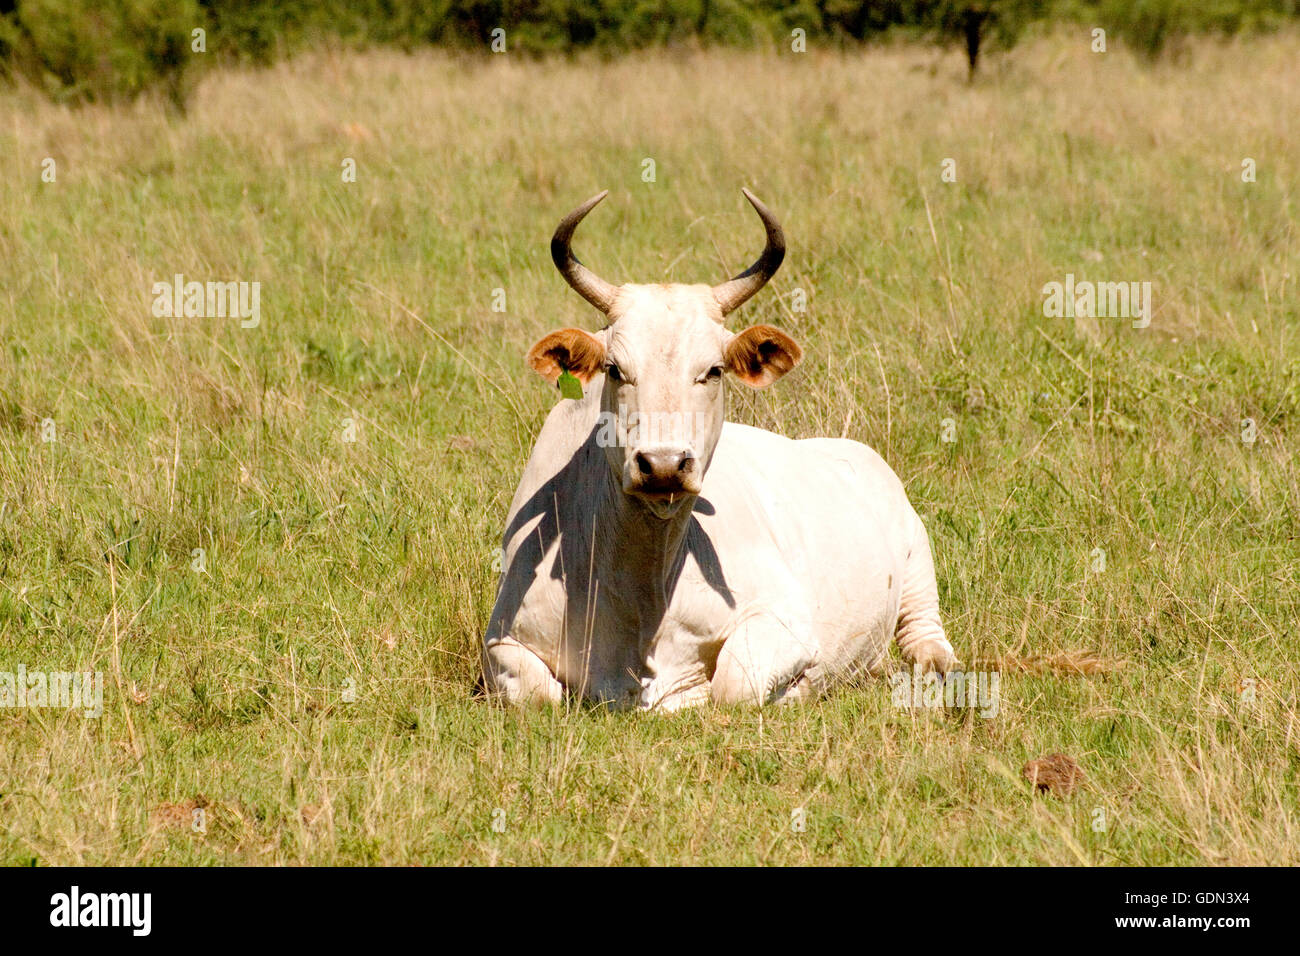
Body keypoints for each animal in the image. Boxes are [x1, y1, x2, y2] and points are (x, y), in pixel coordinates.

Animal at [482, 189, 956, 710]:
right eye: (614, 369)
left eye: (713, 370)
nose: (663, 465)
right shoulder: (500, 641)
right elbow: (539, 694)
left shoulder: (785, 618)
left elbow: (733, 683)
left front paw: (798, 688)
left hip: (918, 565)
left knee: (927, 637)